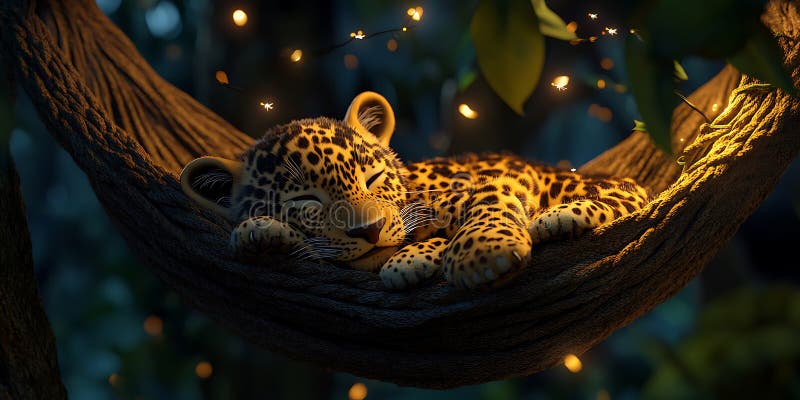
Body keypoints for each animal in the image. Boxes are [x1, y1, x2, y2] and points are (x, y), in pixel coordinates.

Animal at [180, 91, 651, 290]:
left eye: (371, 179)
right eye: (305, 202)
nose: (369, 230)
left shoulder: (493, 183)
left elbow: (486, 207)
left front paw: (479, 256)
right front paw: (259, 232)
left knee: (628, 193)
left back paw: (557, 219)